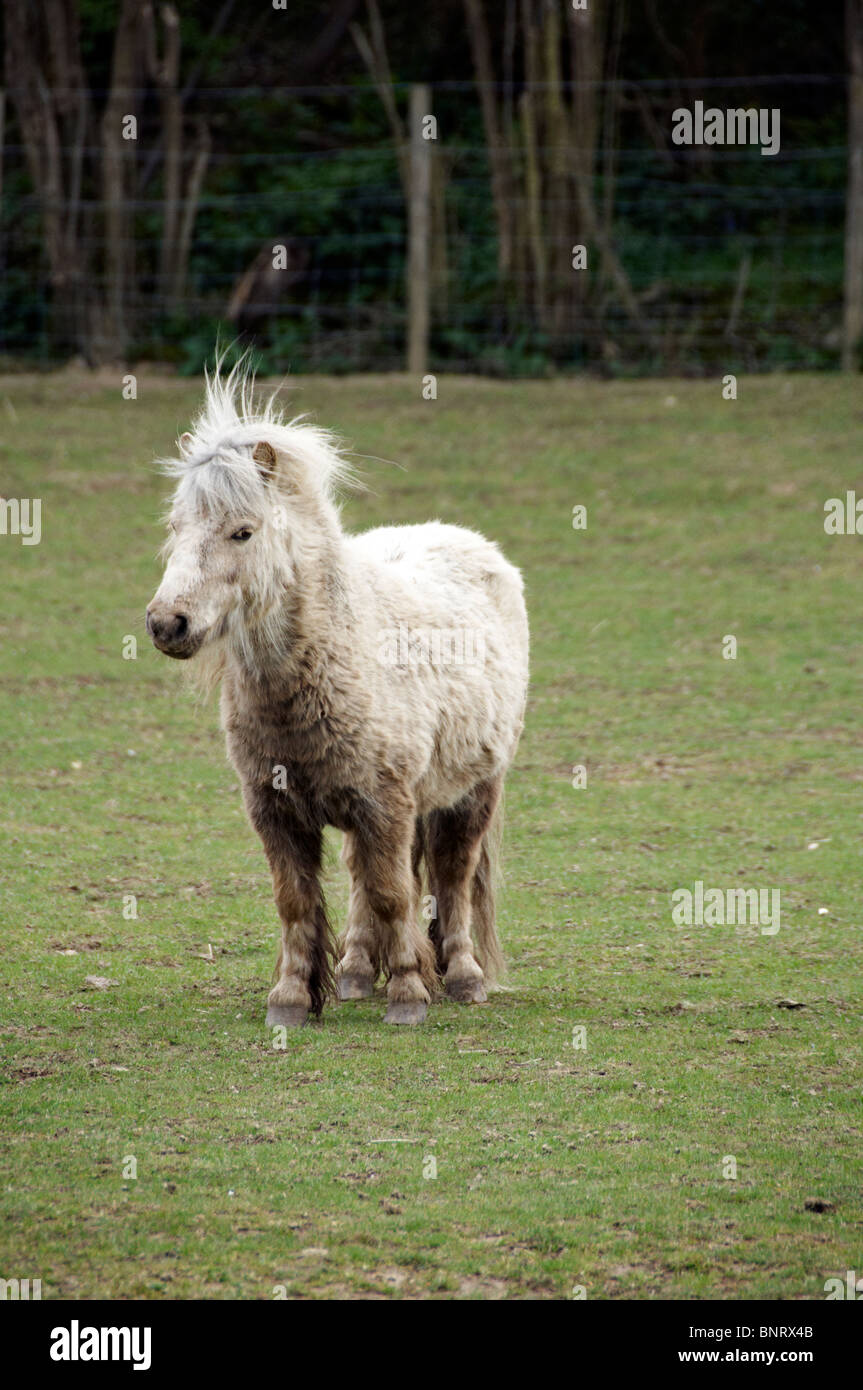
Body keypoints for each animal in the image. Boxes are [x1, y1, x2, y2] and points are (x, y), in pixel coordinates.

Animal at [146, 359, 529, 1025]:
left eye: (243, 532)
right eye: (176, 528)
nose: (168, 623)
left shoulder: (386, 806)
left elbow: (394, 894)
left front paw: (407, 995)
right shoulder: (275, 810)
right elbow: (298, 901)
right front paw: (292, 1000)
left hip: (472, 792)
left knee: (452, 877)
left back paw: (461, 976)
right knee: (361, 879)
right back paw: (353, 972)